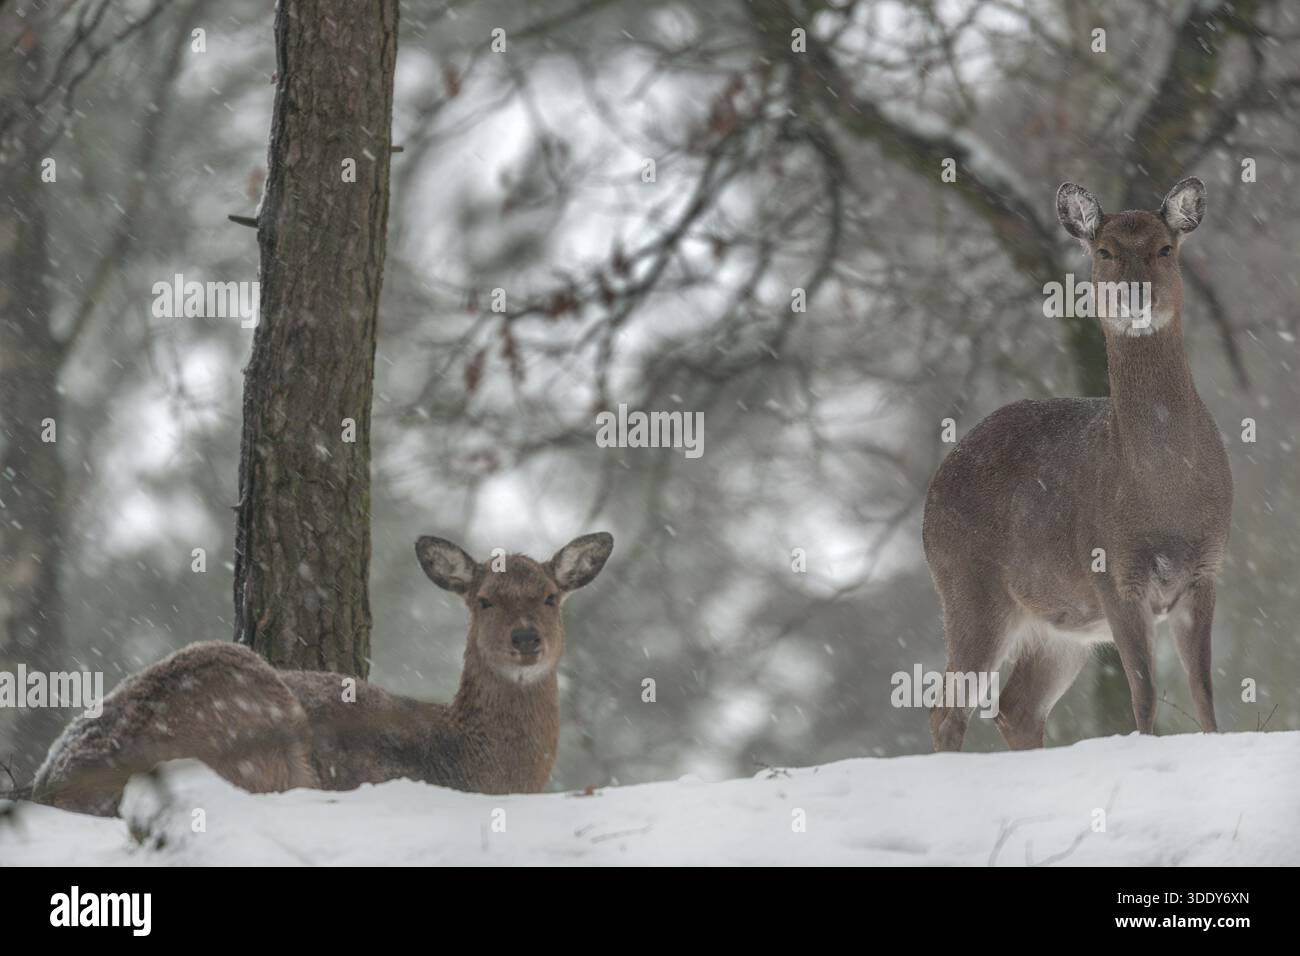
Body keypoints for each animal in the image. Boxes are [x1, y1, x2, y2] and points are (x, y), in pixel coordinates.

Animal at [922, 177, 1233, 752]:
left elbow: (1204, 694)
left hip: (1060, 626)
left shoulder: (1206, 569)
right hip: (966, 585)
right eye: (1105, 251)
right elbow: (1144, 696)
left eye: (1165, 248)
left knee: (1015, 706)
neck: (1166, 495)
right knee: (948, 707)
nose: (1134, 294)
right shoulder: (1114, 573)